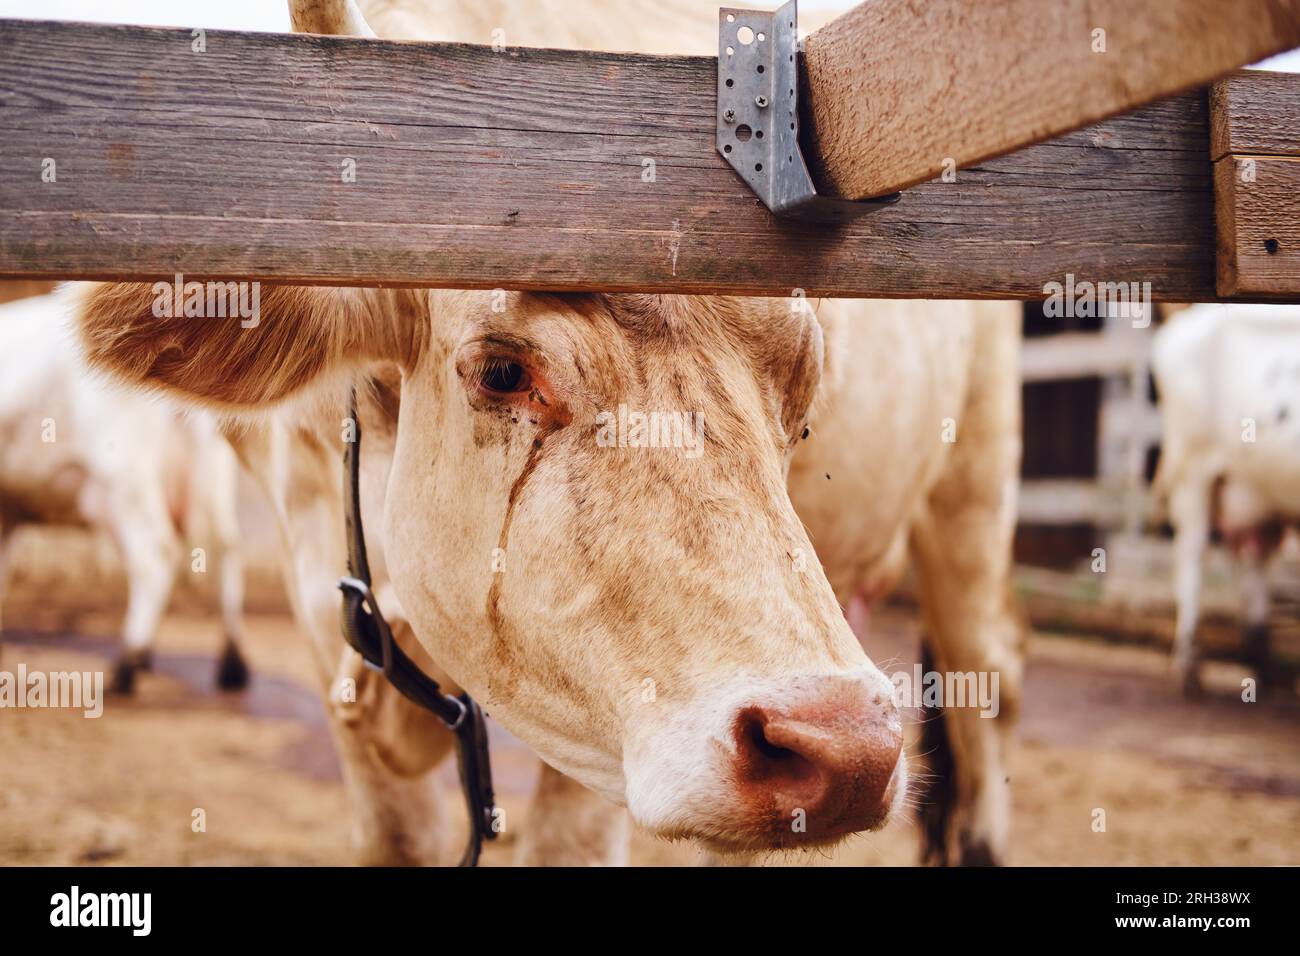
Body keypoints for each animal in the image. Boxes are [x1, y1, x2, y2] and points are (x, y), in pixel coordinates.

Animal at [0, 288, 248, 693]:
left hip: (125, 476)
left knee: (155, 553)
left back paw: (125, 667)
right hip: (212, 476)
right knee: (224, 548)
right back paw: (231, 668)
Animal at [1153, 303, 1300, 696]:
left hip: (1252, 494)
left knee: (1252, 565)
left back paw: (1264, 670)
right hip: (1193, 472)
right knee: (1191, 557)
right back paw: (1190, 671)